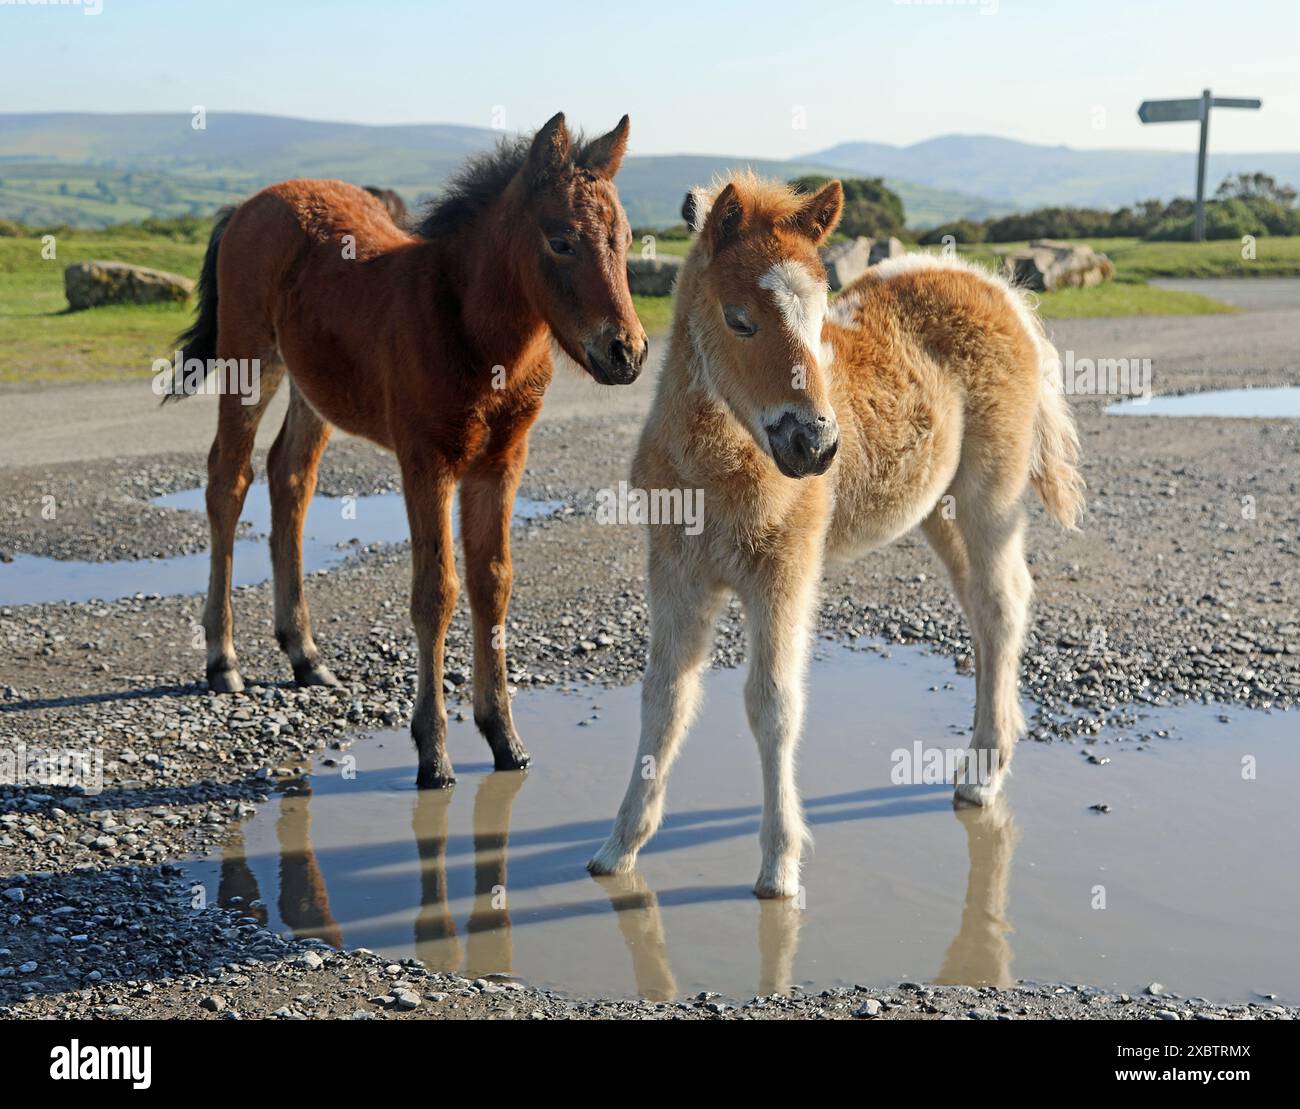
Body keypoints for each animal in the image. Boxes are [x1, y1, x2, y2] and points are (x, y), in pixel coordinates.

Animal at [168, 113, 647, 789]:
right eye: (560, 242)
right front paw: (433, 751)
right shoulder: (426, 461)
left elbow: (493, 582)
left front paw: (505, 737)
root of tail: (251, 202)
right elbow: (436, 591)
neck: (475, 334)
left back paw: (305, 654)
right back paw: (223, 660)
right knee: (227, 482)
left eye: (625, 240)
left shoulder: (503, 461)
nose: (626, 354)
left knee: (290, 478)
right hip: (250, 361)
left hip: (312, 387)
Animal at [589, 173, 1083, 897]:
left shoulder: (786, 571)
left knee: (1003, 602)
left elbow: (772, 704)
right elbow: (665, 696)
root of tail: (997, 289)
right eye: (739, 318)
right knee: (985, 609)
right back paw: (982, 758)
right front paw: (620, 846)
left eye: (821, 317)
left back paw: (984, 774)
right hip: (937, 510)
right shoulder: (676, 570)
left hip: (990, 495)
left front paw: (779, 866)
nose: (815, 444)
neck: (717, 469)